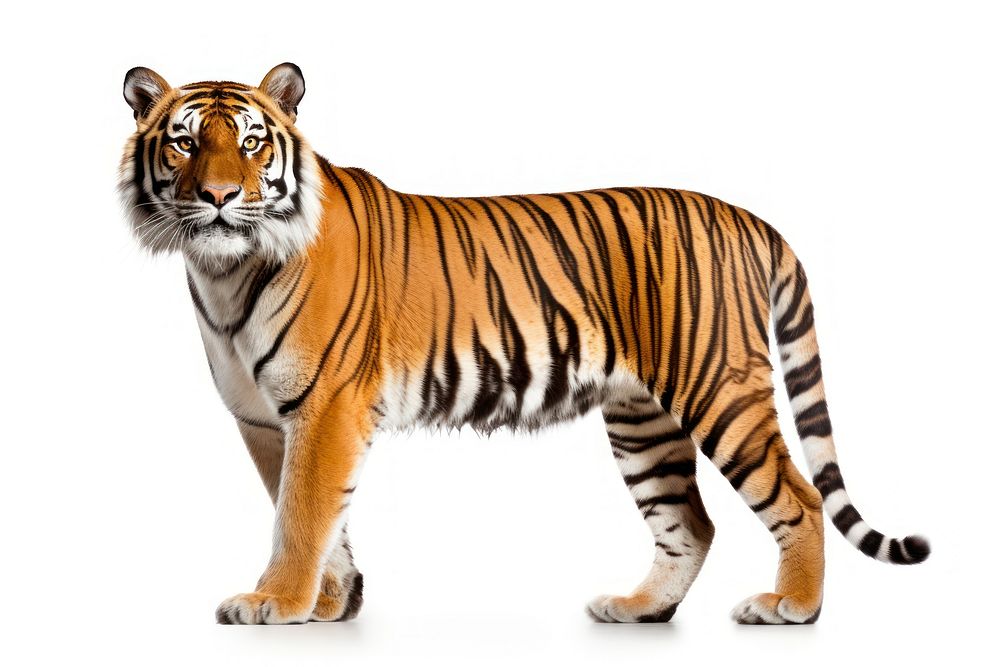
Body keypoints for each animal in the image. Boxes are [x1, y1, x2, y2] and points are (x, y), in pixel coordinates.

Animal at [119, 63, 930, 626]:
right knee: (689, 523)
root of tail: (751, 218)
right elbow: (319, 515)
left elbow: (298, 514)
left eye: (252, 144)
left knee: (799, 496)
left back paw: (792, 607)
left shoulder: (324, 409)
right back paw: (639, 609)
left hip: (719, 388)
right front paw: (331, 603)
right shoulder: (267, 420)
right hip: (642, 419)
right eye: (185, 142)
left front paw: (276, 604)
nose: (220, 197)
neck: (225, 272)